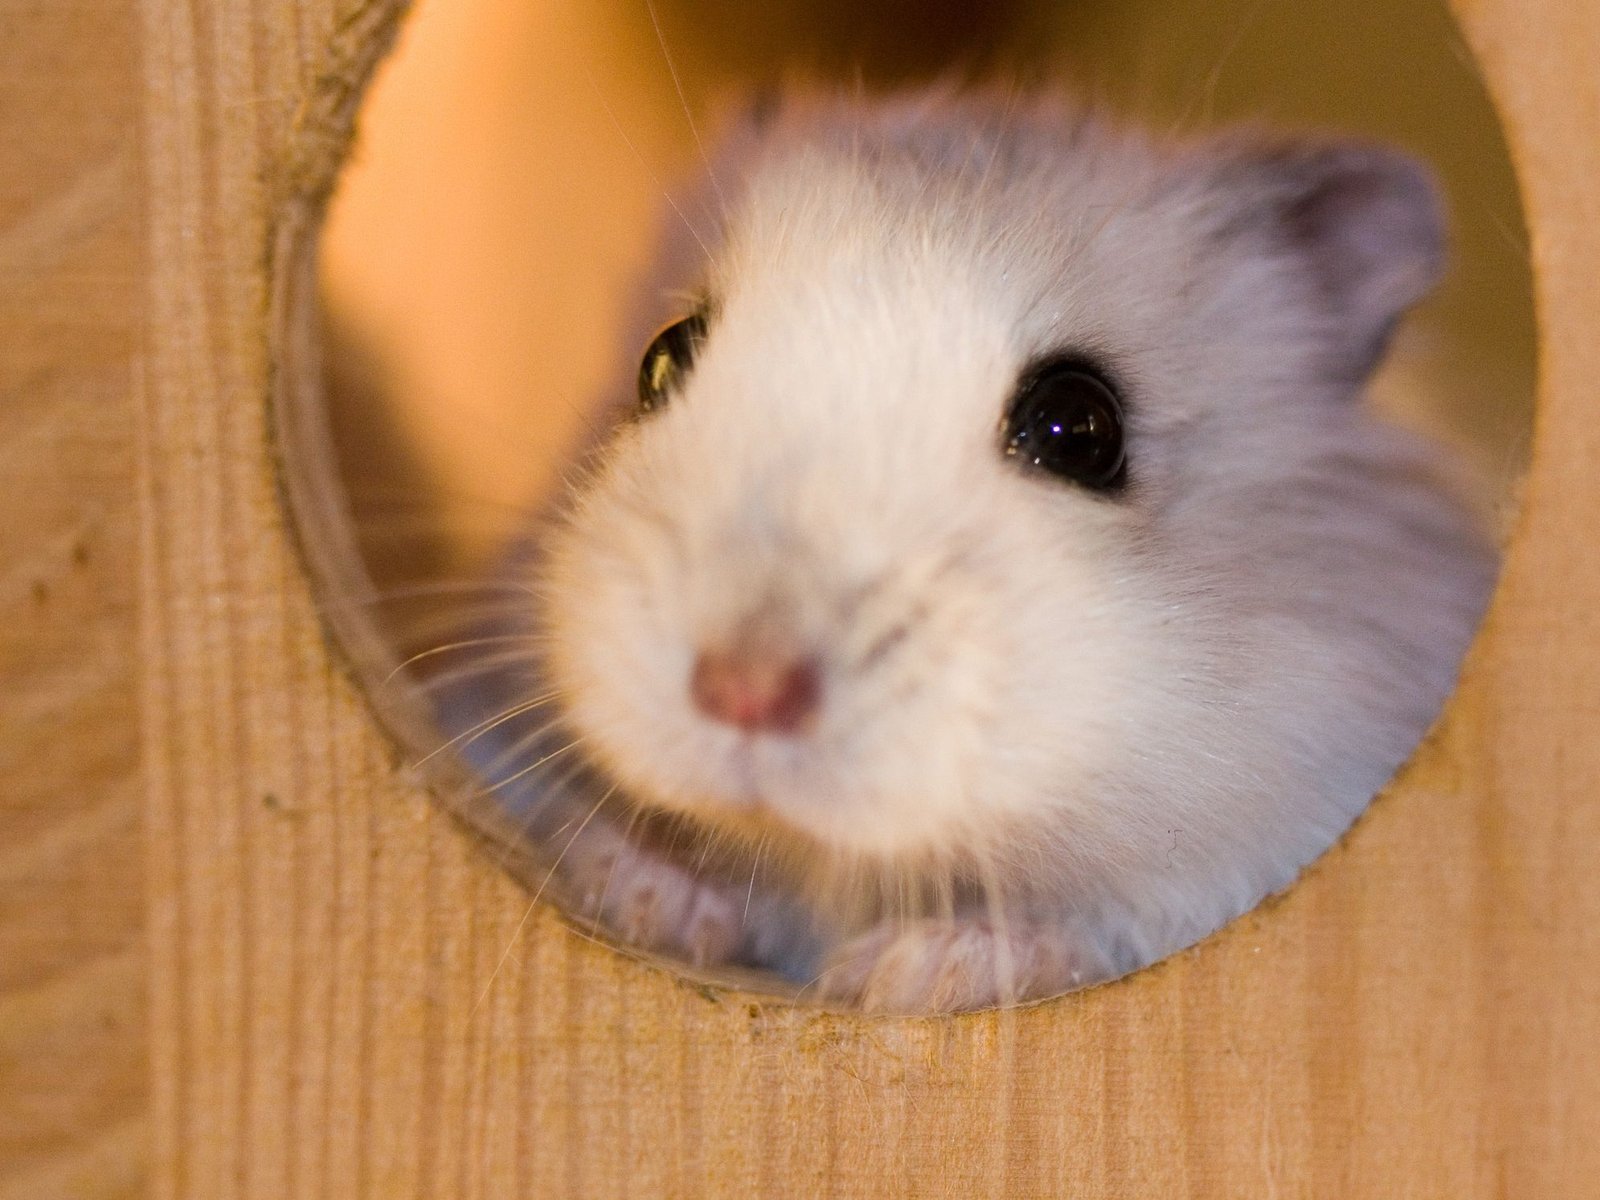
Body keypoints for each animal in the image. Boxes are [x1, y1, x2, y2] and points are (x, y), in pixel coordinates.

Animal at [434, 88, 1498, 1013]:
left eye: (1079, 428)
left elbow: (1105, 921)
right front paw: (653, 895)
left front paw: (909, 973)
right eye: (663, 358)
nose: (742, 690)